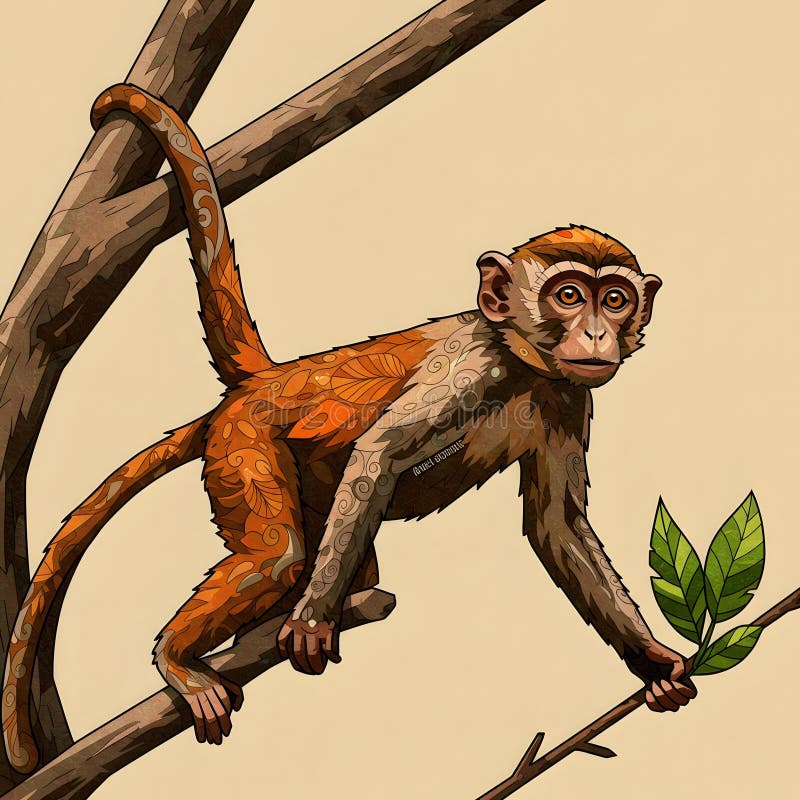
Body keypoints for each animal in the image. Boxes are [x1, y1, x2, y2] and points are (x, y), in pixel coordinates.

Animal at [2, 83, 696, 773]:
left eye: (615, 300)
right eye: (569, 295)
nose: (598, 335)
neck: (522, 364)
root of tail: (267, 380)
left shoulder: (568, 398)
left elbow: (557, 524)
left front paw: (652, 661)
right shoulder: (470, 366)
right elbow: (381, 452)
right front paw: (311, 620)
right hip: (243, 443)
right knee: (278, 555)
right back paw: (181, 653)